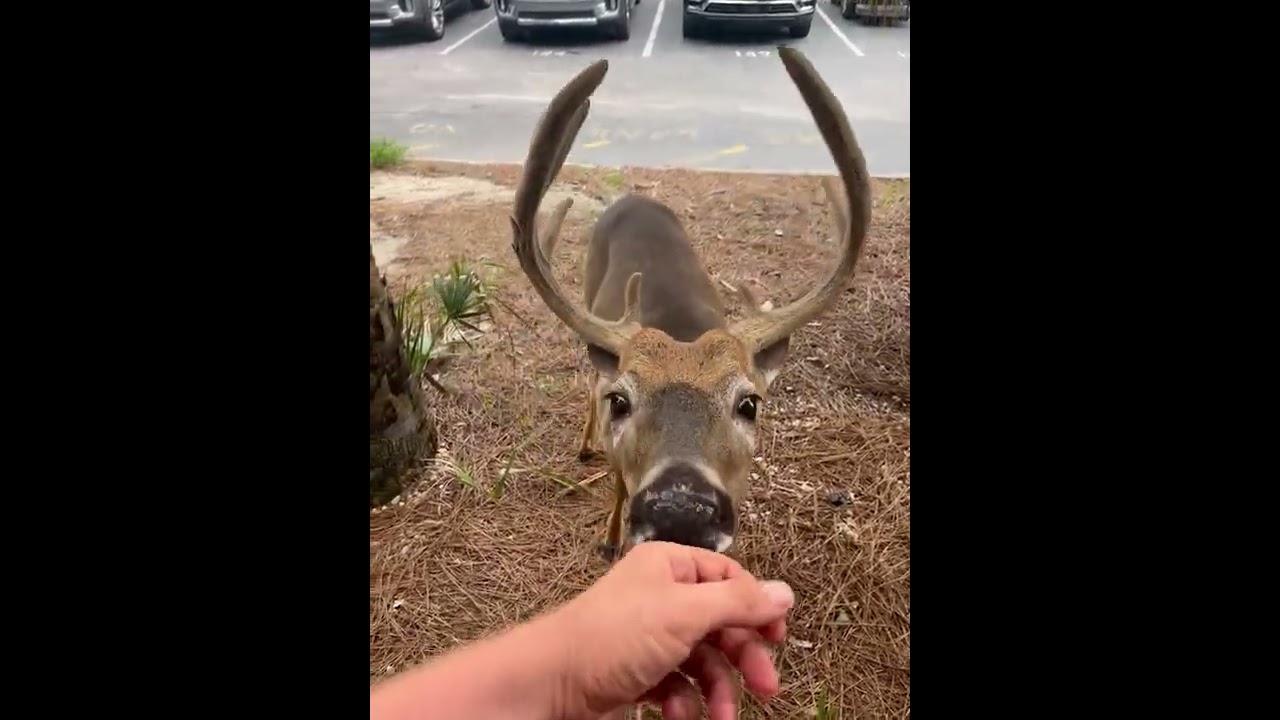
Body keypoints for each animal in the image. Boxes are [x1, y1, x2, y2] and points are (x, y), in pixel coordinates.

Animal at [510, 47, 871, 562]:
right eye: (622, 400)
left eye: (750, 403)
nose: (681, 511)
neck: (682, 329)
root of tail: (633, 196)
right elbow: (618, 482)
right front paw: (611, 539)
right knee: (589, 379)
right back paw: (585, 447)